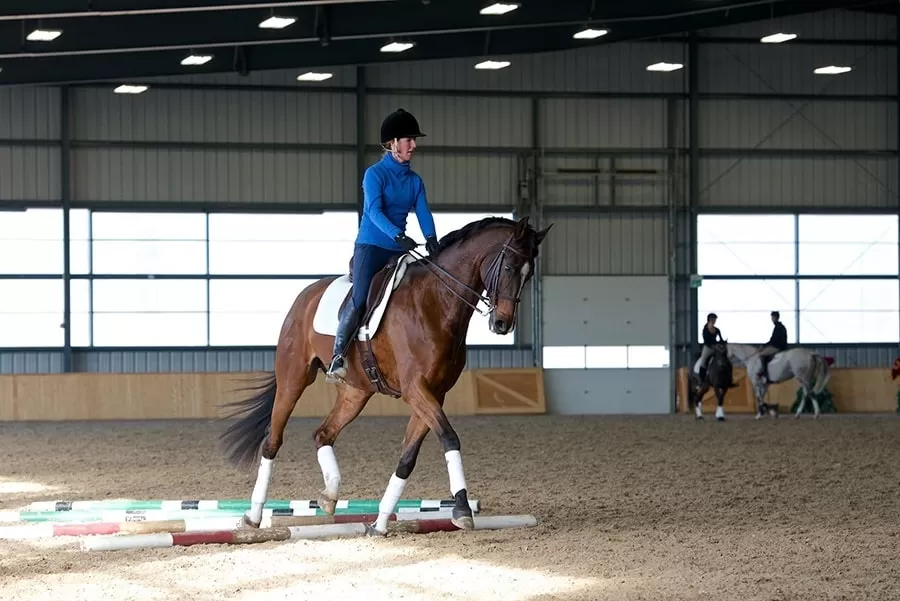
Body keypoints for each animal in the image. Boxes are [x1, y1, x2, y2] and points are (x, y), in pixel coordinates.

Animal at [220, 214, 548, 536]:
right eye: (508, 266)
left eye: (529, 274)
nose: (502, 324)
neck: (436, 302)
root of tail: (305, 296)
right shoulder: (416, 390)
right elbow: (449, 437)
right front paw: (462, 509)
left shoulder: (434, 393)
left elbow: (407, 458)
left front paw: (378, 524)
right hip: (293, 378)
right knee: (272, 440)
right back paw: (253, 517)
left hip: (355, 392)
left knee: (323, 433)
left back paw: (329, 496)